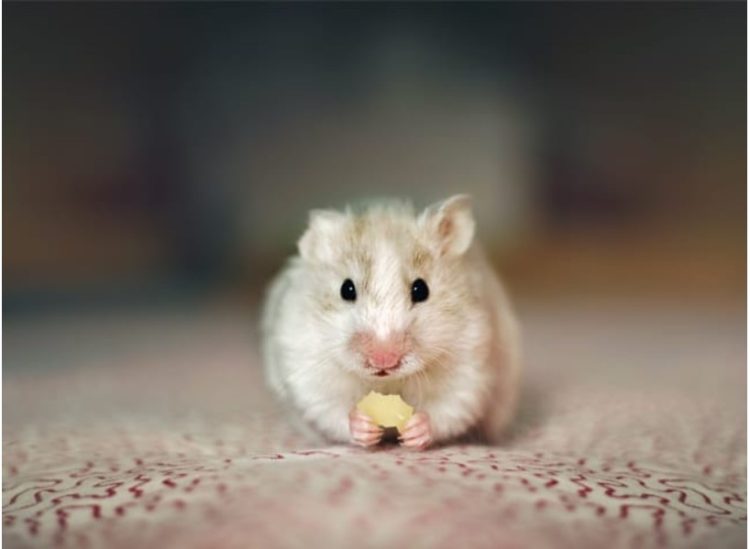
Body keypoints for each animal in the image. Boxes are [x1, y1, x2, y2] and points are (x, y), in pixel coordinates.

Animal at [261, 195, 521, 450]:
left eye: (421, 289)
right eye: (346, 289)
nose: (383, 360)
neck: (388, 383)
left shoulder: (470, 371)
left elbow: (446, 410)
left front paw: (414, 431)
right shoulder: (309, 369)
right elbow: (333, 410)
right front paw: (366, 429)